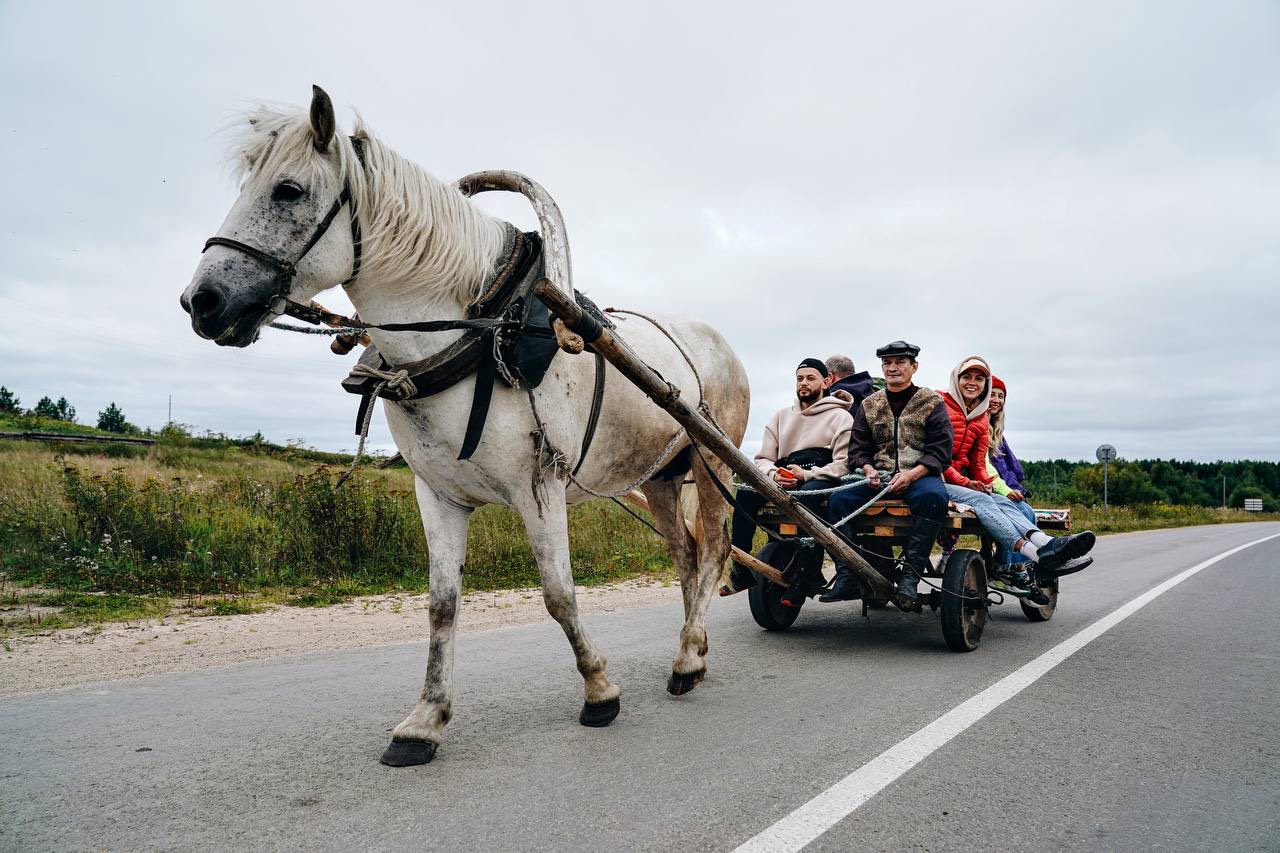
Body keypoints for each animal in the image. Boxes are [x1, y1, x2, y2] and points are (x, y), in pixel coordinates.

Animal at [180, 86, 747, 763]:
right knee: (685, 554)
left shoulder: (540, 488)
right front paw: (425, 719)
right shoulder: (439, 494)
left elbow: (558, 593)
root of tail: (717, 341)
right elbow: (442, 605)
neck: (477, 329)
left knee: (714, 548)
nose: (202, 301)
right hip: (660, 475)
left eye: (288, 190)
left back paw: (688, 657)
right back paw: (693, 646)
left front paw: (599, 690)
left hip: (713, 464)